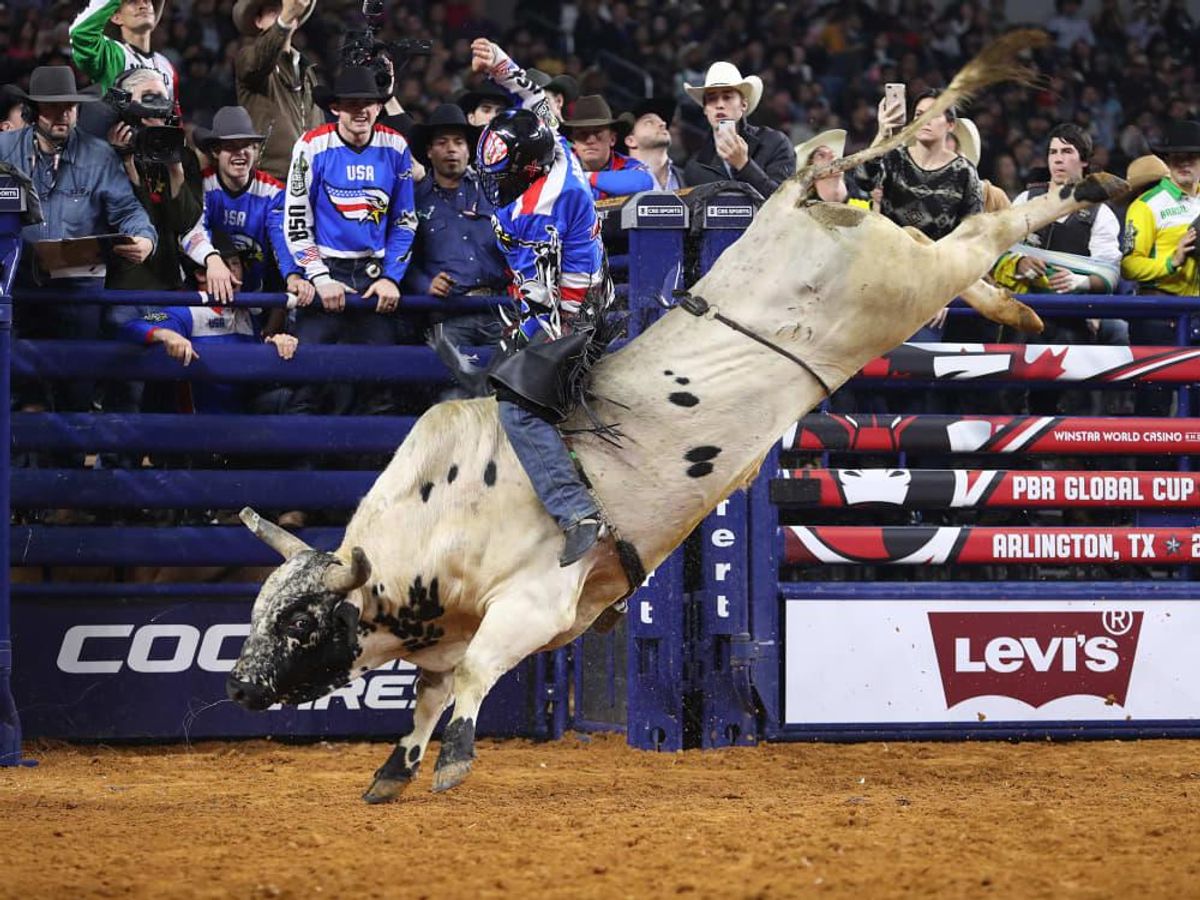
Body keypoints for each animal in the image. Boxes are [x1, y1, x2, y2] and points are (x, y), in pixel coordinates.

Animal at [226, 31, 1131, 801]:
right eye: (262, 609)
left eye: (301, 622)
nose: (238, 683)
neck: (437, 519)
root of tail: (793, 203)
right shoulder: (449, 634)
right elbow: (427, 692)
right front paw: (395, 768)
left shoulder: (537, 605)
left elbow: (476, 675)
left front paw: (451, 759)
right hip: (910, 264)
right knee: (971, 234)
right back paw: (1019, 304)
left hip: (905, 284)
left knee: (996, 224)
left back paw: (1078, 189)